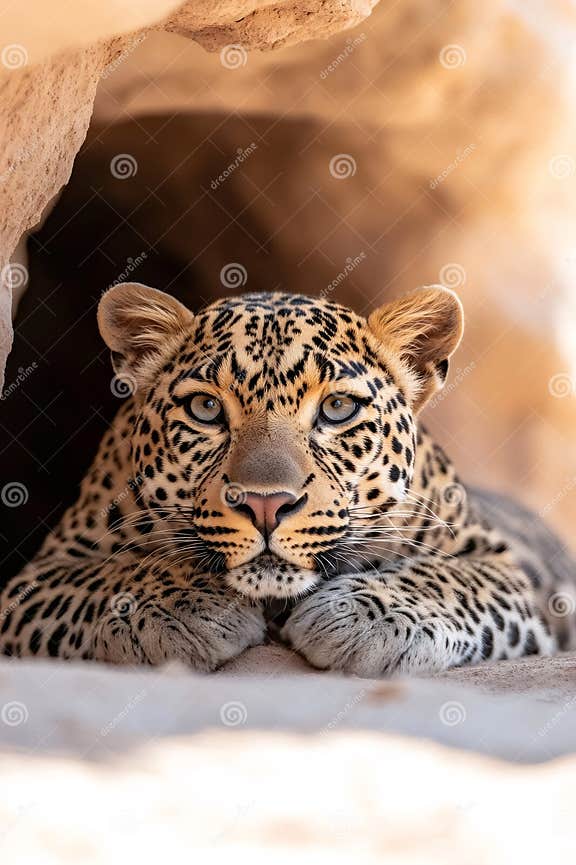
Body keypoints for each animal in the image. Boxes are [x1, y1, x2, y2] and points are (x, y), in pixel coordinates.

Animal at [1, 283, 575, 676]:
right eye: (206, 408)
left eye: (338, 408)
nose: (266, 505)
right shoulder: (34, 579)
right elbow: (106, 576)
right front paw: (181, 606)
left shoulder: (507, 568)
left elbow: (447, 577)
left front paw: (362, 617)